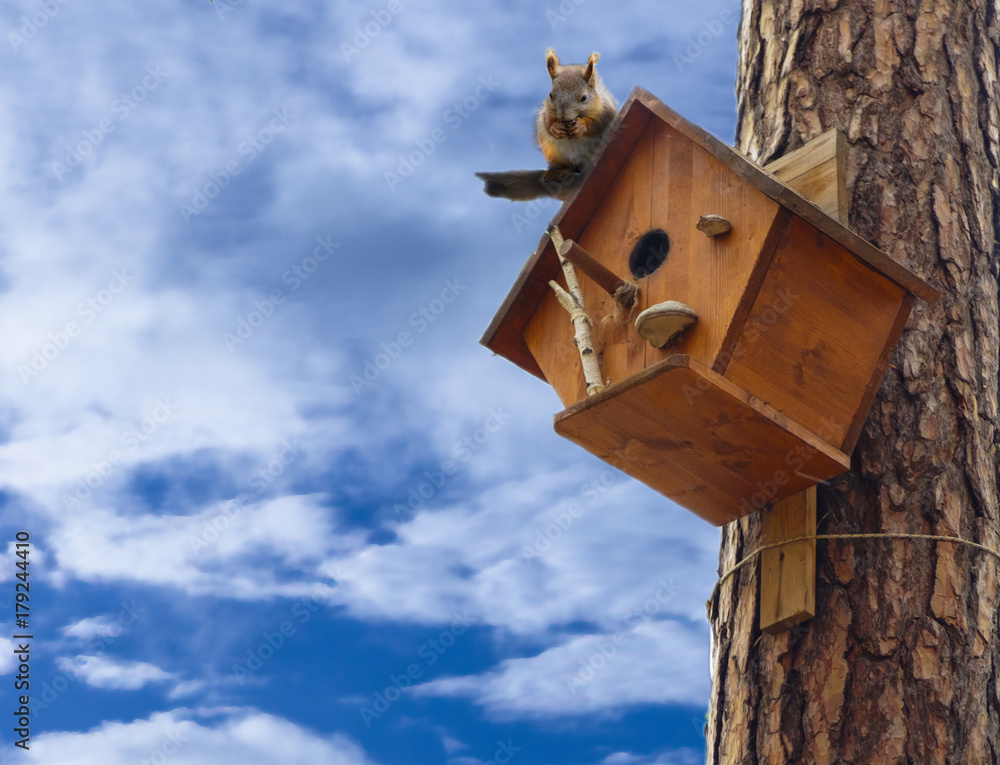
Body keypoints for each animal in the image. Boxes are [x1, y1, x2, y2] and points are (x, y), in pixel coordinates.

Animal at [476, 49, 618, 202]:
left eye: (584, 98)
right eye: (550, 95)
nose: (563, 116)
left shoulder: (605, 110)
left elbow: (598, 122)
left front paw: (581, 126)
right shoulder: (547, 112)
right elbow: (547, 121)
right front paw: (555, 128)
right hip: (552, 151)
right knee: (570, 167)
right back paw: (557, 172)